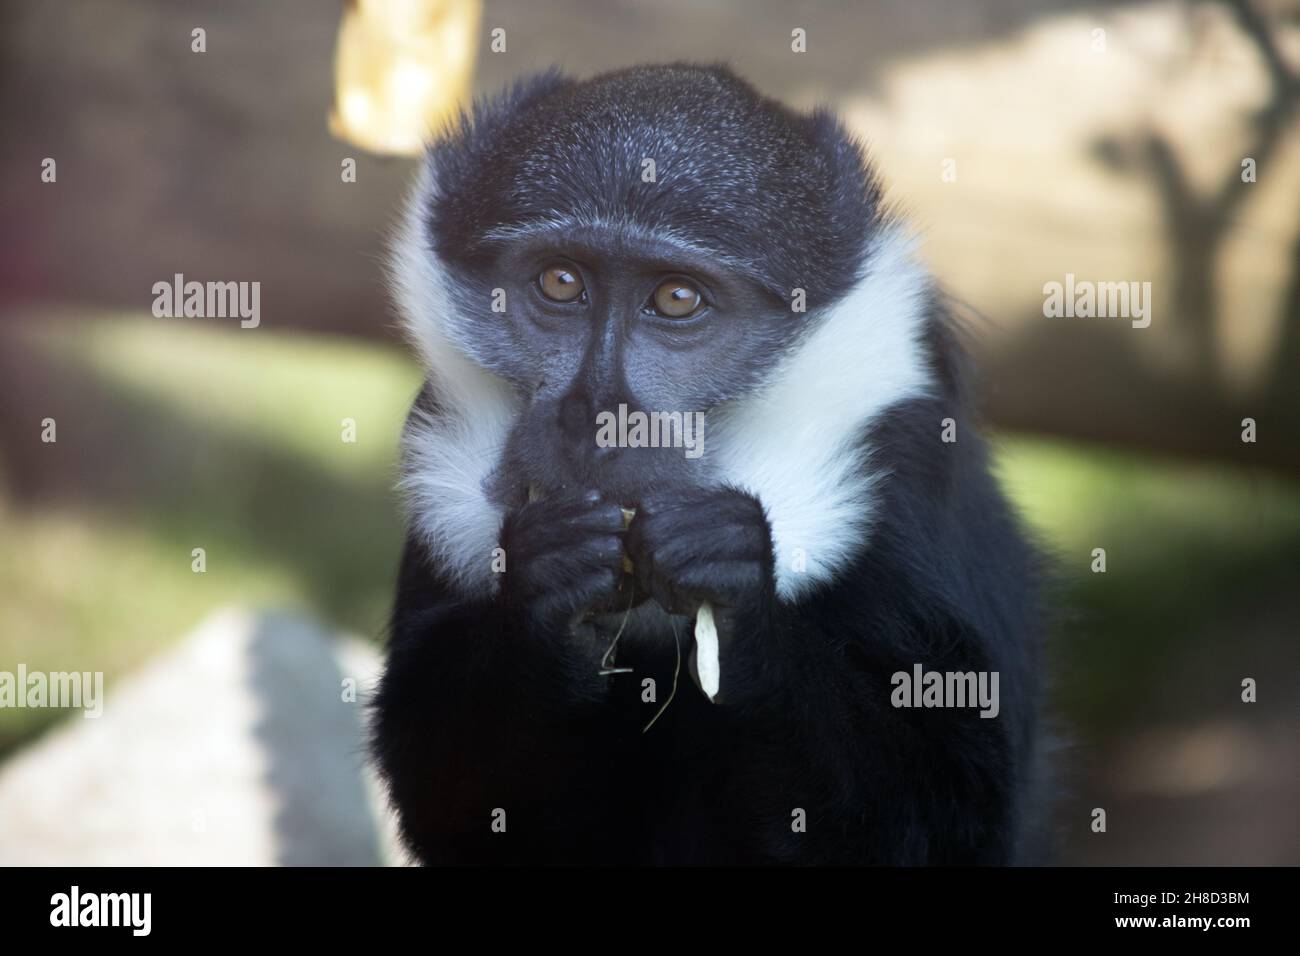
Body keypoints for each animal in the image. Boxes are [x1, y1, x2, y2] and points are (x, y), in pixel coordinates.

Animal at [372, 64, 1050, 865]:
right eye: (562, 282)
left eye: (676, 298)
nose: (596, 411)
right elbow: (453, 803)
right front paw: (547, 573)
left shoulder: (906, 469)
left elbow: (940, 813)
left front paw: (727, 573)